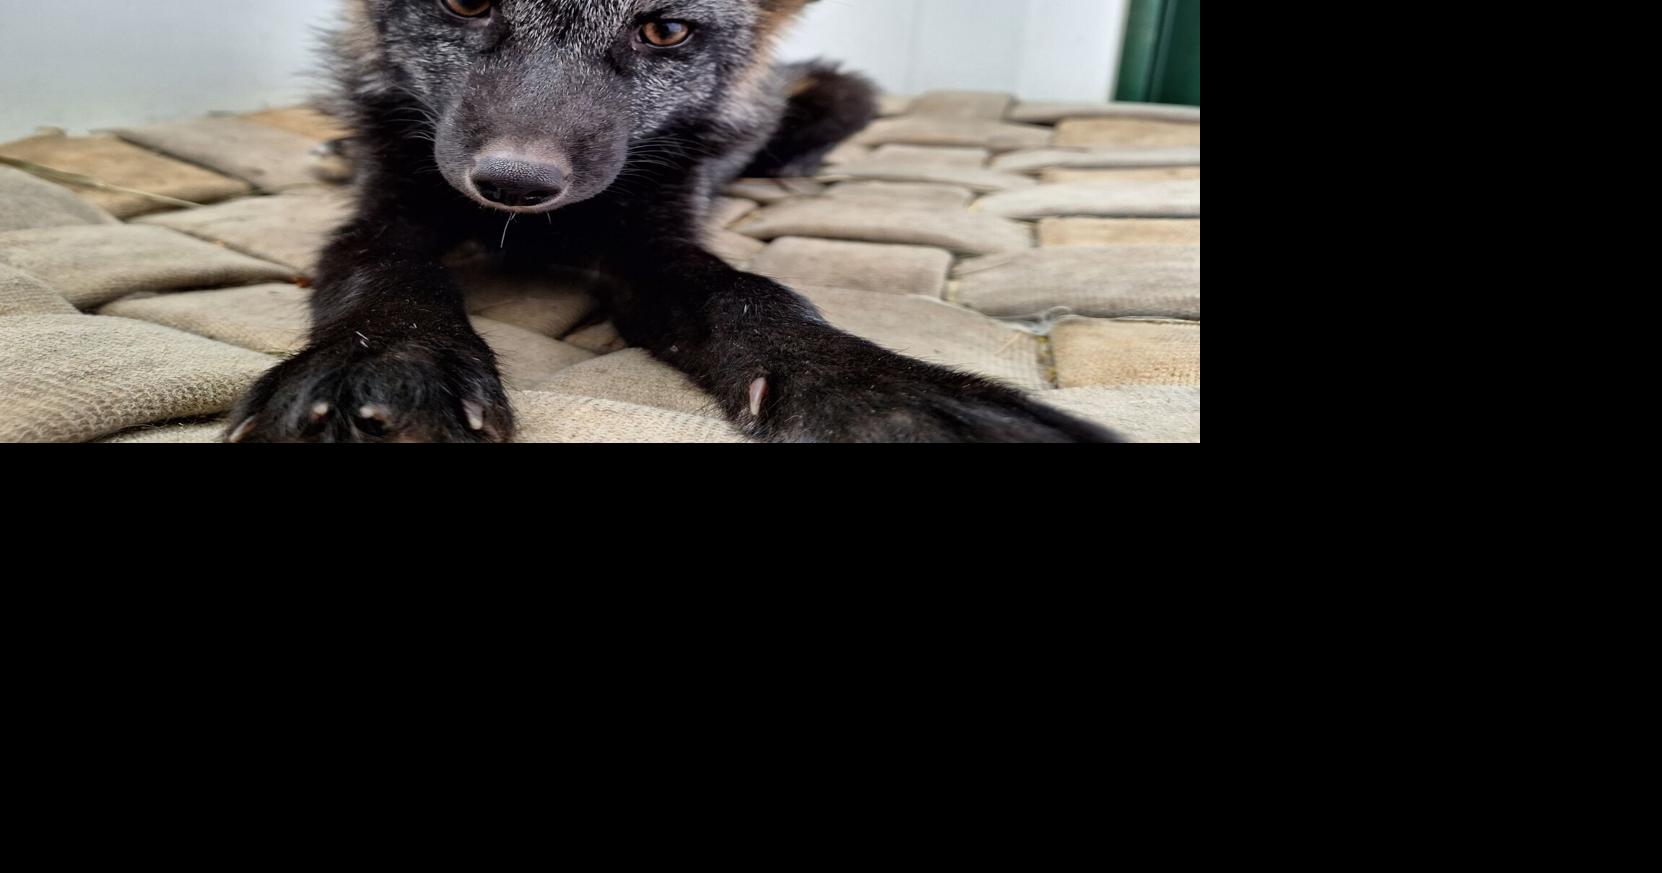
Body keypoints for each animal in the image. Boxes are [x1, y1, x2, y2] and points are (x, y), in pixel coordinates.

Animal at [225, 0, 1117, 442]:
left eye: (664, 29)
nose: (514, 185)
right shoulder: (389, 211)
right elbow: (378, 272)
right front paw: (387, 357)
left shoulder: (654, 244)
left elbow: (752, 295)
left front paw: (875, 389)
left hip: (841, 93)